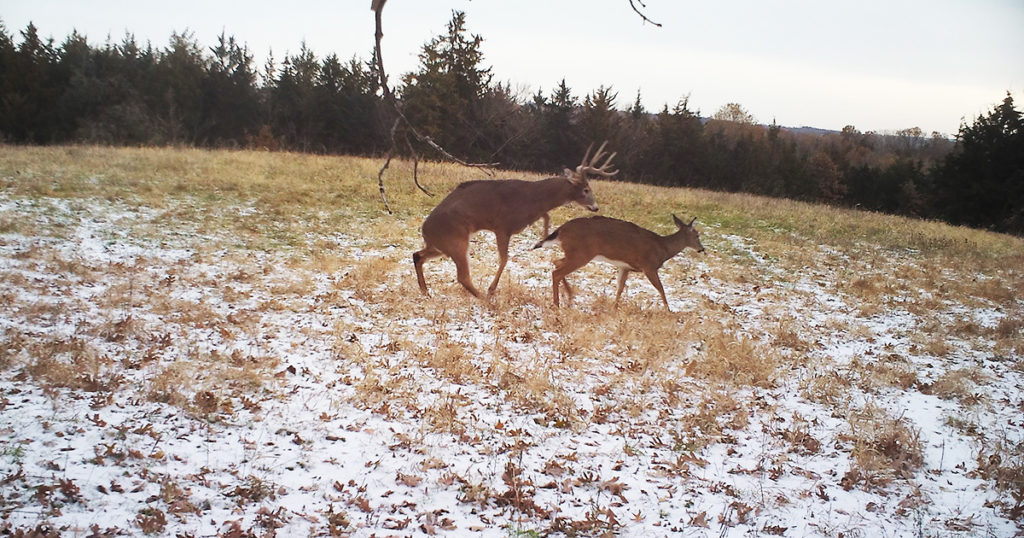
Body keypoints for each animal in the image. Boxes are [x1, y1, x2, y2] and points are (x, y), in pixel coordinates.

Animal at [414, 142, 618, 298]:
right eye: (586, 189)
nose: (595, 207)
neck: (533, 198)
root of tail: (424, 229)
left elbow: (547, 230)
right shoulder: (502, 225)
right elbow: (504, 259)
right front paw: (491, 289)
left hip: (441, 246)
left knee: (417, 255)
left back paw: (425, 291)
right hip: (456, 240)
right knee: (462, 276)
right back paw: (483, 297)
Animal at [533, 214, 705, 311]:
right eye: (697, 235)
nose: (702, 249)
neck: (663, 248)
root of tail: (561, 229)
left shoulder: (625, 267)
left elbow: (620, 287)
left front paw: (614, 308)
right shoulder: (648, 266)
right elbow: (660, 289)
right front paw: (669, 311)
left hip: (573, 253)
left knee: (556, 262)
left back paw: (569, 297)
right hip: (581, 254)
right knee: (556, 272)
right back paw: (557, 304)